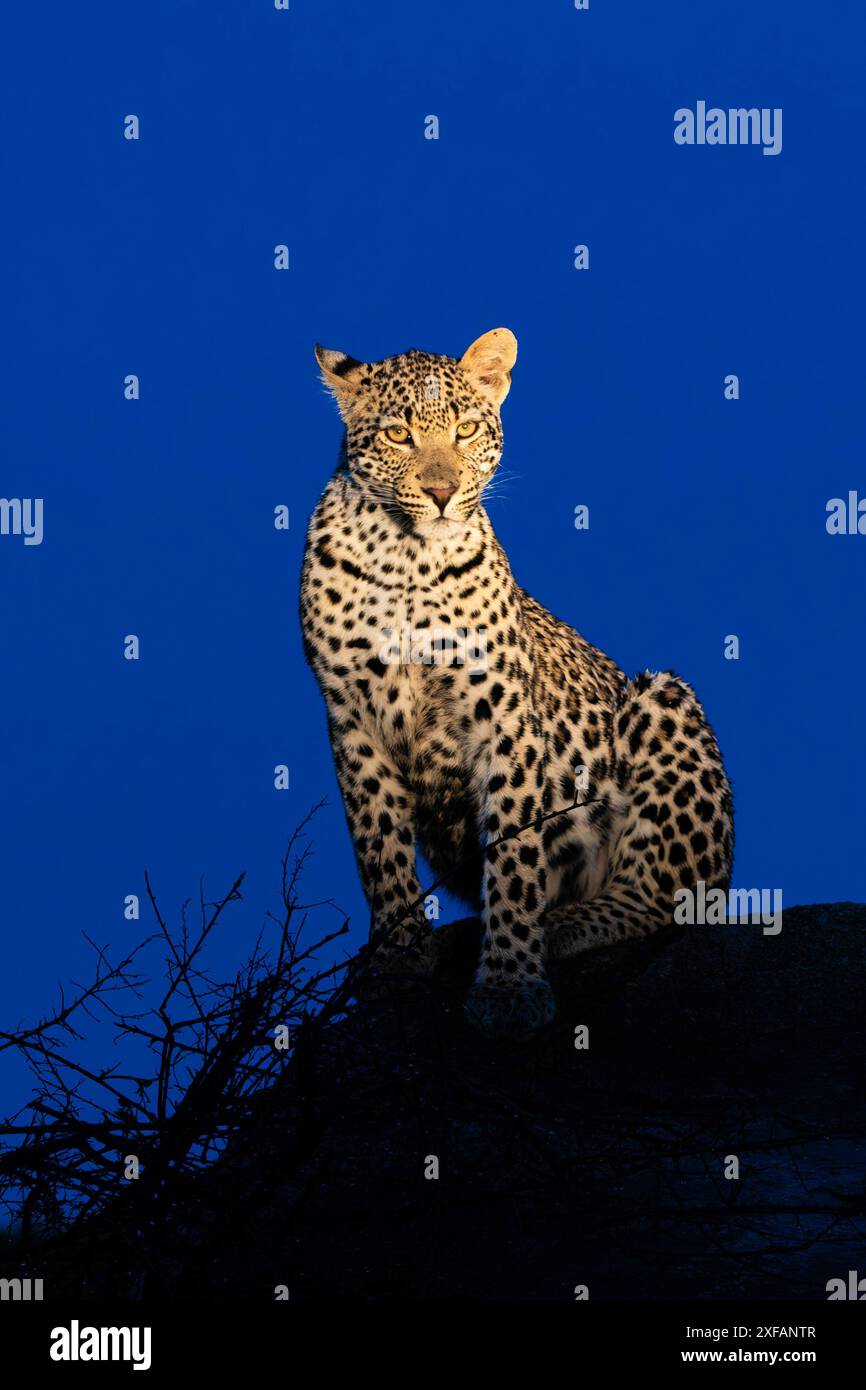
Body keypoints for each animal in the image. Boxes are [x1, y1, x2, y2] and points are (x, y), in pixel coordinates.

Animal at [300, 328, 734, 1039]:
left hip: (665, 701)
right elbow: (379, 851)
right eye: (398, 435)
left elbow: (515, 856)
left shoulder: (503, 716)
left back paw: (563, 926)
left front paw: (509, 982)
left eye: (467, 428)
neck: (407, 557)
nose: (442, 492)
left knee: (662, 898)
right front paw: (396, 959)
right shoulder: (351, 719)